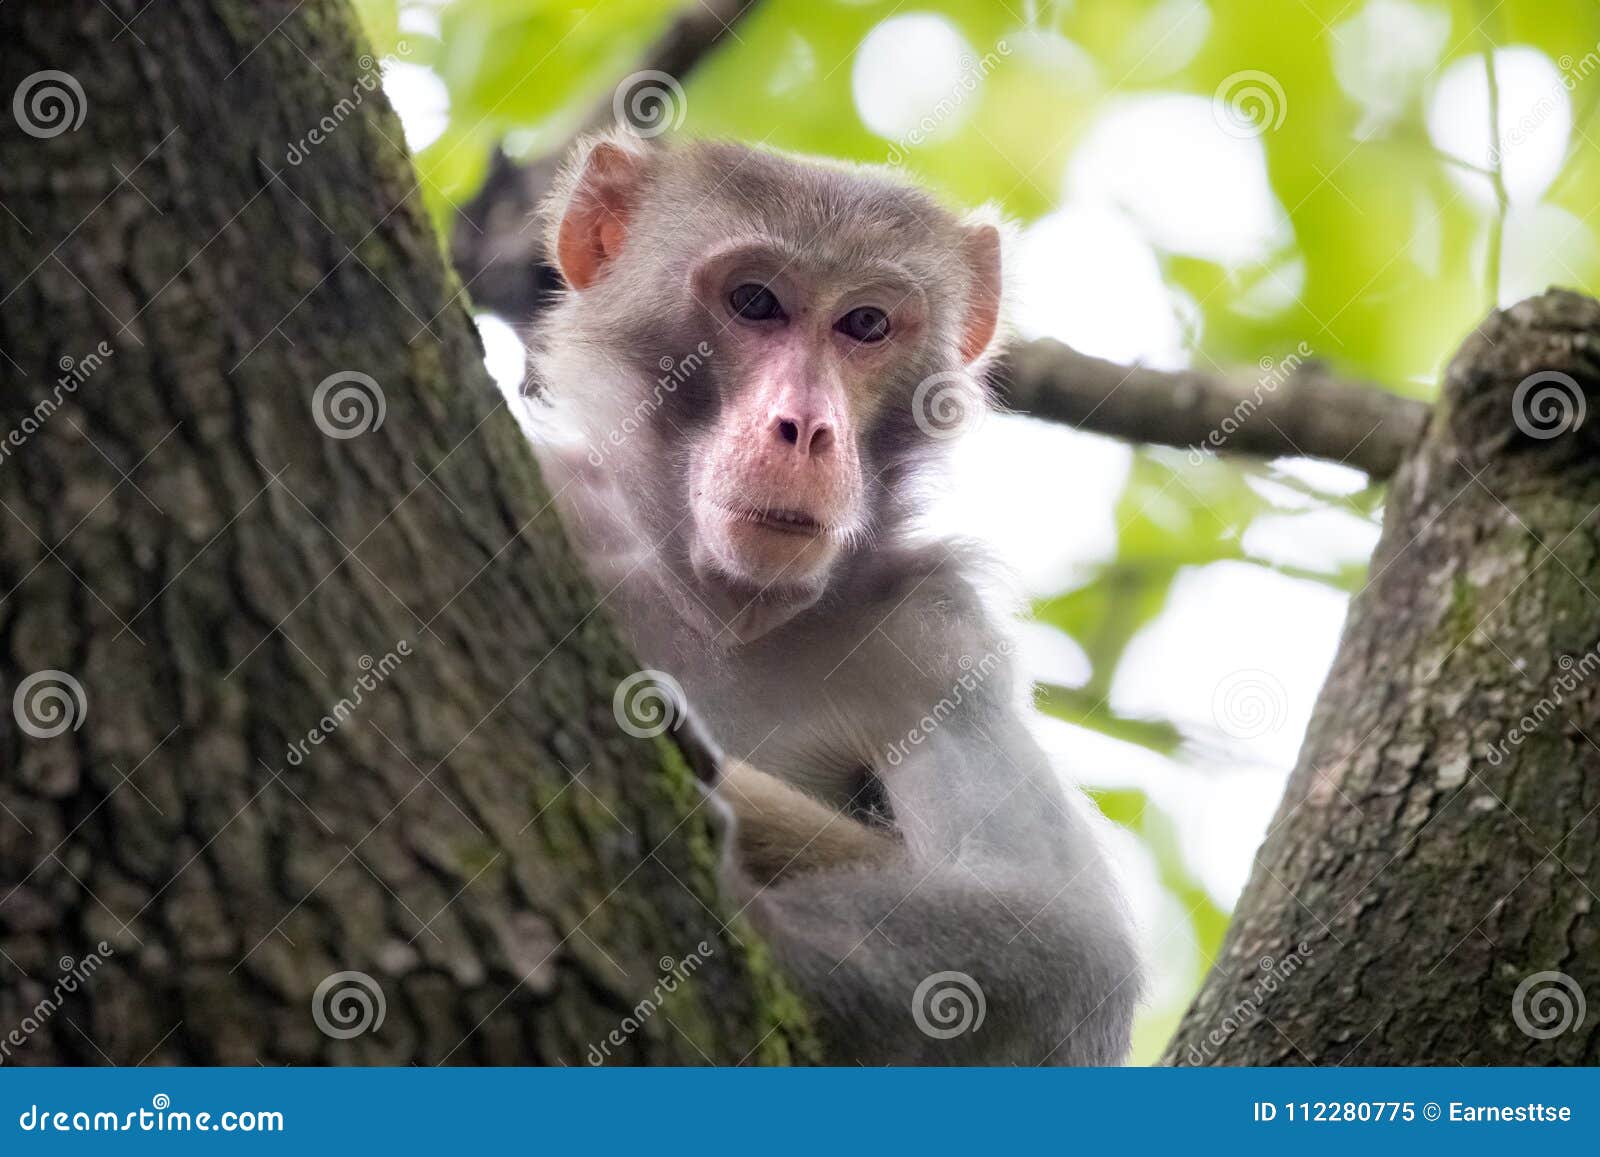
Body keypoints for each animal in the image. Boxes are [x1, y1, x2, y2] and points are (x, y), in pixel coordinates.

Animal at [522, 130, 1140, 1065]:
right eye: (755, 302)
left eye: (865, 324)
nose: (806, 428)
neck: (724, 606)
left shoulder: (934, 631)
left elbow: (1065, 937)